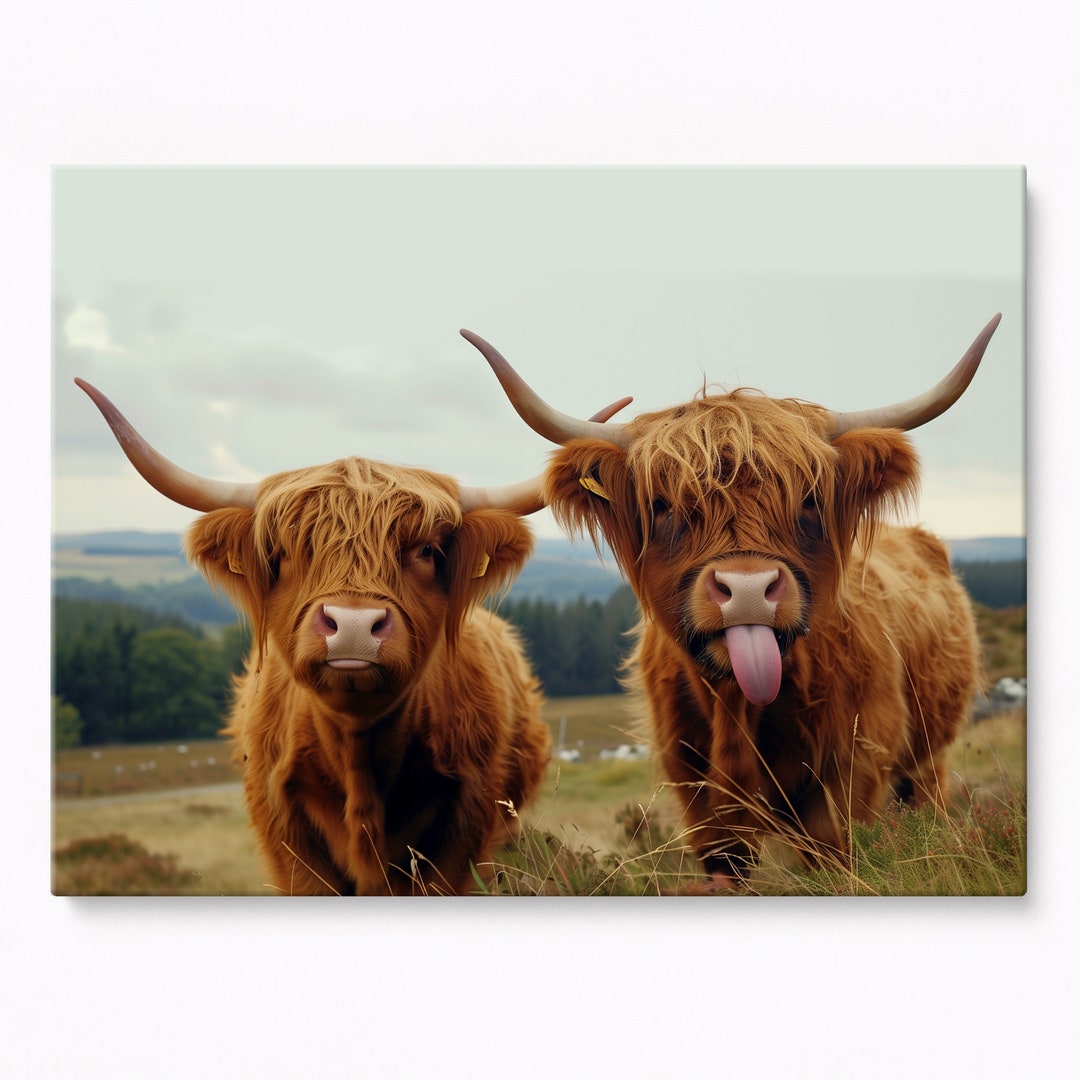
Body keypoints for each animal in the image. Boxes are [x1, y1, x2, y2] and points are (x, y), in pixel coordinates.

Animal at [75, 375, 630, 896]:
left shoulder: (466, 825)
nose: (354, 626)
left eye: (426, 550)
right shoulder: (285, 831)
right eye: (283, 552)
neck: (359, 753)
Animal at [461, 315, 999, 888]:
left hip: (928, 759)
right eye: (663, 504)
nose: (747, 590)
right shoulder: (698, 798)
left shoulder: (851, 778)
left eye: (810, 498)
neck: (737, 705)